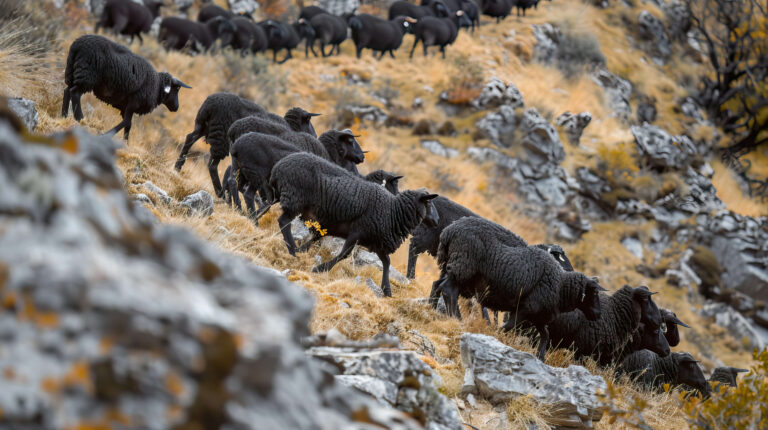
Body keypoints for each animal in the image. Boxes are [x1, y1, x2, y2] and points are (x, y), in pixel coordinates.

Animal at [61, 35, 191, 141]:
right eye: (177, 88)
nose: (176, 107)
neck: (157, 85)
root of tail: (77, 45)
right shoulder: (134, 102)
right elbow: (126, 122)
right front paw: (107, 135)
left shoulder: (126, 106)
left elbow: (128, 125)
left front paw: (125, 143)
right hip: (86, 75)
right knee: (75, 93)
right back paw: (80, 119)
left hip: (73, 72)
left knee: (67, 91)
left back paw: (63, 116)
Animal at [174, 92, 318, 198]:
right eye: (308, 120)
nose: (315, 136)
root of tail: (210, 104)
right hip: (221, 137)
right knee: (212, 165)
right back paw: (220, 193)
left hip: (203, 126)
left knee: (189, 138)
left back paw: (177, 167)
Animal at [270, 152, 440, 297]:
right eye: (429, 203)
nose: (437, 222)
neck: (393, 211)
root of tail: (279, 166)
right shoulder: (357, 232)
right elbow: (344, 254)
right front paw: (320, 268)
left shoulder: (374, 241)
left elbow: (386, 262)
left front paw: (387, 289)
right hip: (294, 198)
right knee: (283, 222)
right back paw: (292, 250)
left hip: (280, 195)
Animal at [434, 216, 605, 360]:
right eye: (594, 292)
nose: (598, 314)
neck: (561, 285)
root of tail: (449, 231)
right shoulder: (525, 308)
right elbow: (509, 326)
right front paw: (496, 335)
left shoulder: (538, 316)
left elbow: (545, 335)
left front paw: (541, 356)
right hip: (463, 266)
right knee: (449, 290)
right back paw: (456, 318)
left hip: (454, 267)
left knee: (439, 285)